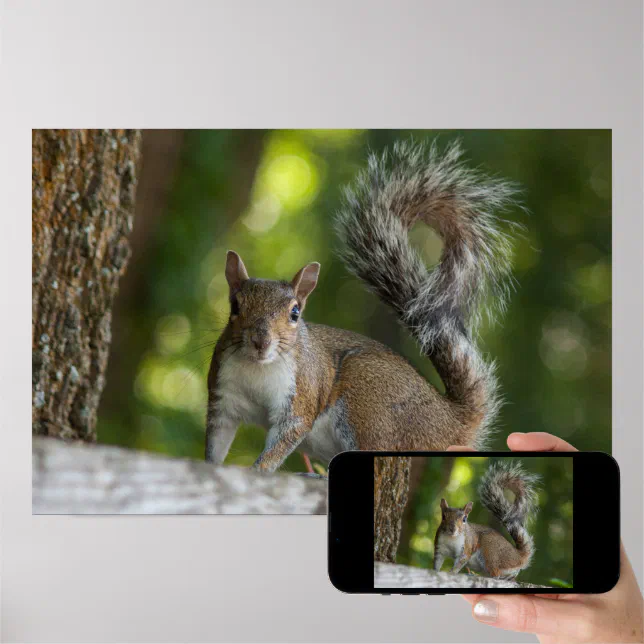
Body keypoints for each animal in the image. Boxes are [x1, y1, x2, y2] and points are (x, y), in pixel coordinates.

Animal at [205, 140, 520, 471]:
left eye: (295, 313)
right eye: (235, 306)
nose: (260, 341)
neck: (258, 369)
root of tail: (450, 423)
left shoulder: (301, 398)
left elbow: (285, 439)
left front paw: (259, 469)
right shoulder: (223, 400)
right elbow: (217, 441)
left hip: (368, 404)